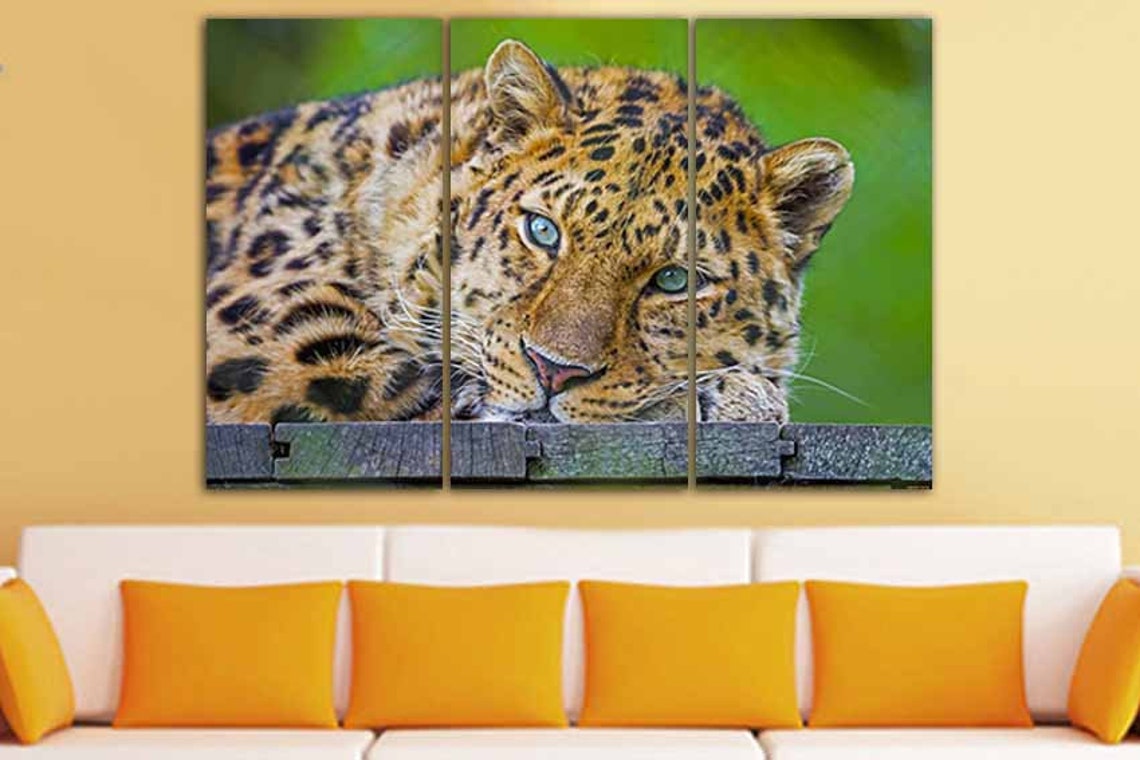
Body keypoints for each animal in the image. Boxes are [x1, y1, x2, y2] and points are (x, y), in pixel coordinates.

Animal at [205, 39, 854, 425]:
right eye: (543, 231)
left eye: (674, 280)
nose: (554, 370)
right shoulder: (263, 334)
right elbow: (418, 384)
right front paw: (723, 400)